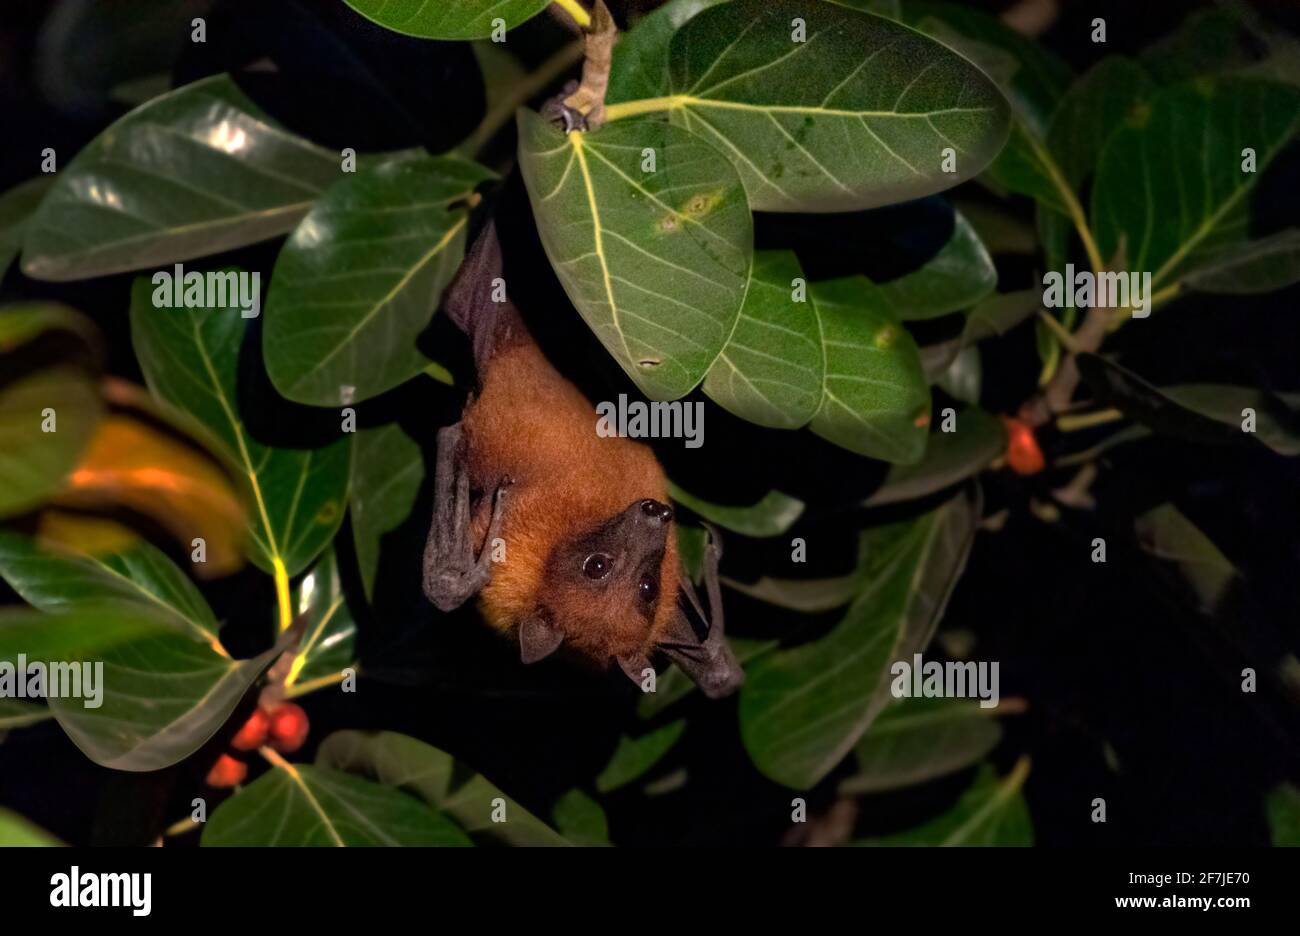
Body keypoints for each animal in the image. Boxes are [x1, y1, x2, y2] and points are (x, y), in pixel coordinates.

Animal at [422, 221, 743, 698]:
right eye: (598, 566)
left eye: (647, 588)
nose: (656, 513)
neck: (582, 522)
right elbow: (445, 586)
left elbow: (721, 677)